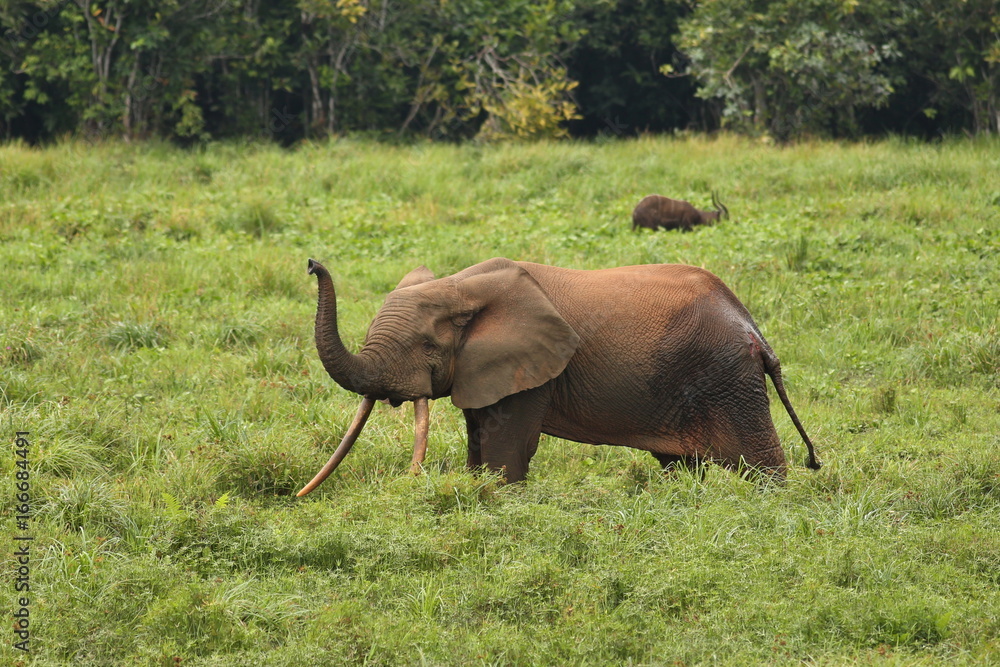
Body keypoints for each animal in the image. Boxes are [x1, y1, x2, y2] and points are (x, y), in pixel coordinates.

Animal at [297, 257, 820, 495]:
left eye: (427, 347)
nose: (311, 264)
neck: (460, 285)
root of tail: (753, 329)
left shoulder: (531, 371)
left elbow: (508, 445)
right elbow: (479, 437)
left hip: (727, 378)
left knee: (760, 464)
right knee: (682, 465)